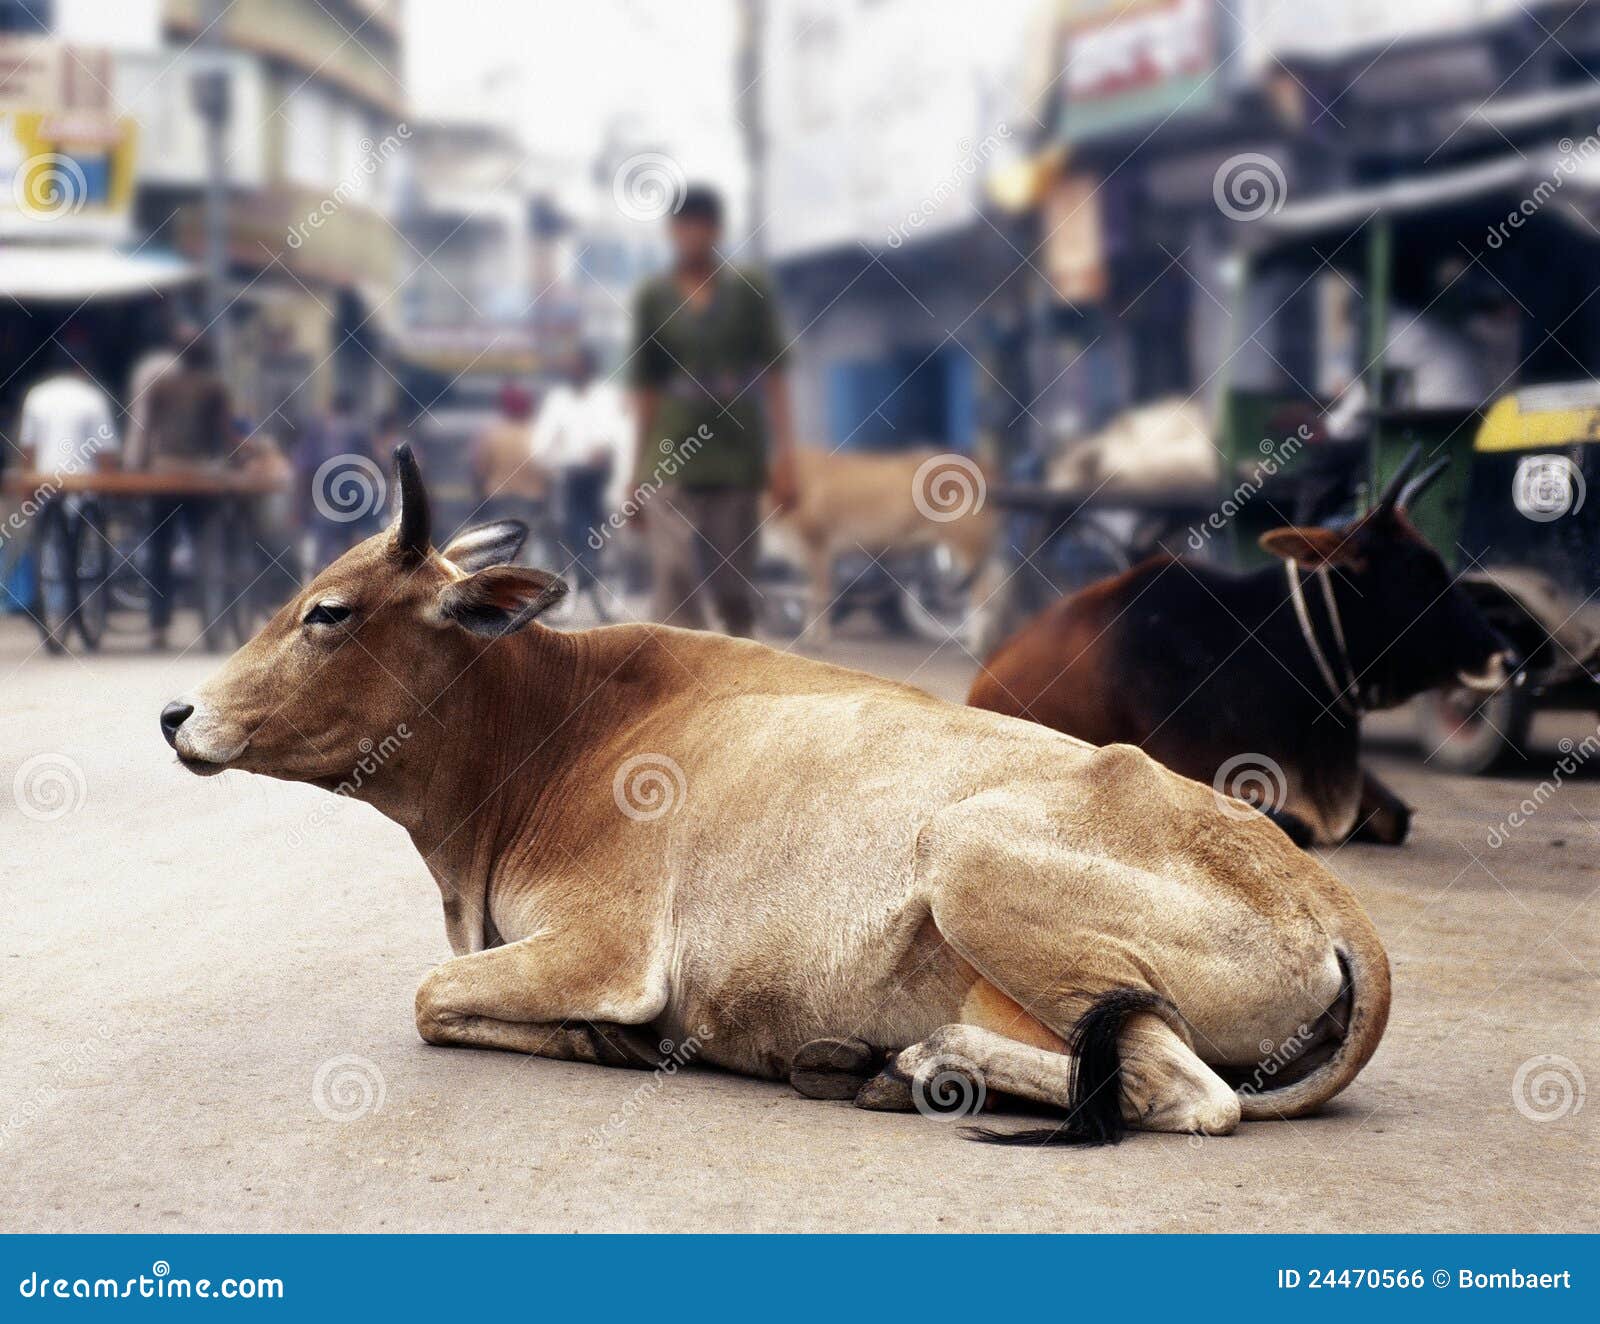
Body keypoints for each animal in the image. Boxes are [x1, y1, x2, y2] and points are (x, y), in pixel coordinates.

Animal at [159, 444, 1390, 1144]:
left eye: (329, 612)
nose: (177, 714)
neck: (548, 733)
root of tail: (1330, 901)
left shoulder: (608, 949)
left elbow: (429, 995)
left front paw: (614, 1043)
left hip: (966, 857)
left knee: (1190, 1094)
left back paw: (916, 1064)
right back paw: (874, 1066)